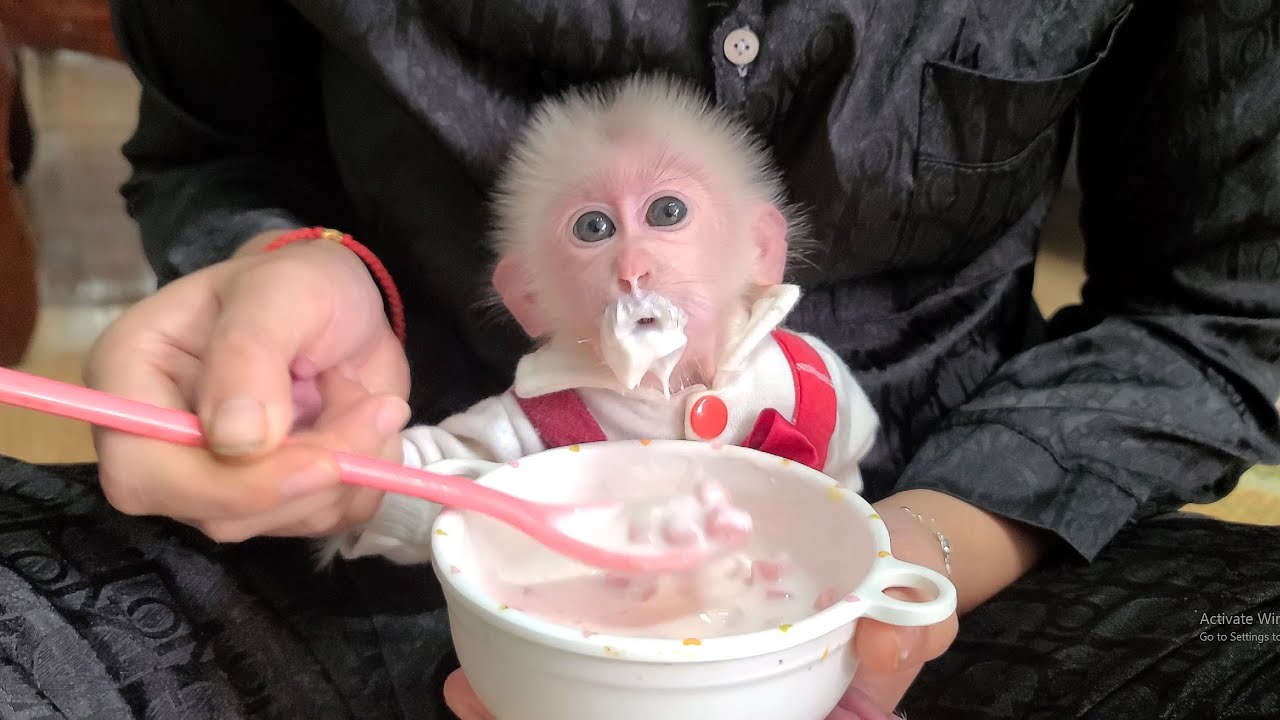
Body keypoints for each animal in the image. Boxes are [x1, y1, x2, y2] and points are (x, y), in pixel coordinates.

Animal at [321, 72, 880, 568]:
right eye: (594, 227)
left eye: (668, 212)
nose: (633, 270)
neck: (676, 386)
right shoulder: (517, 419)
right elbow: (457, 455)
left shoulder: (824, 375)